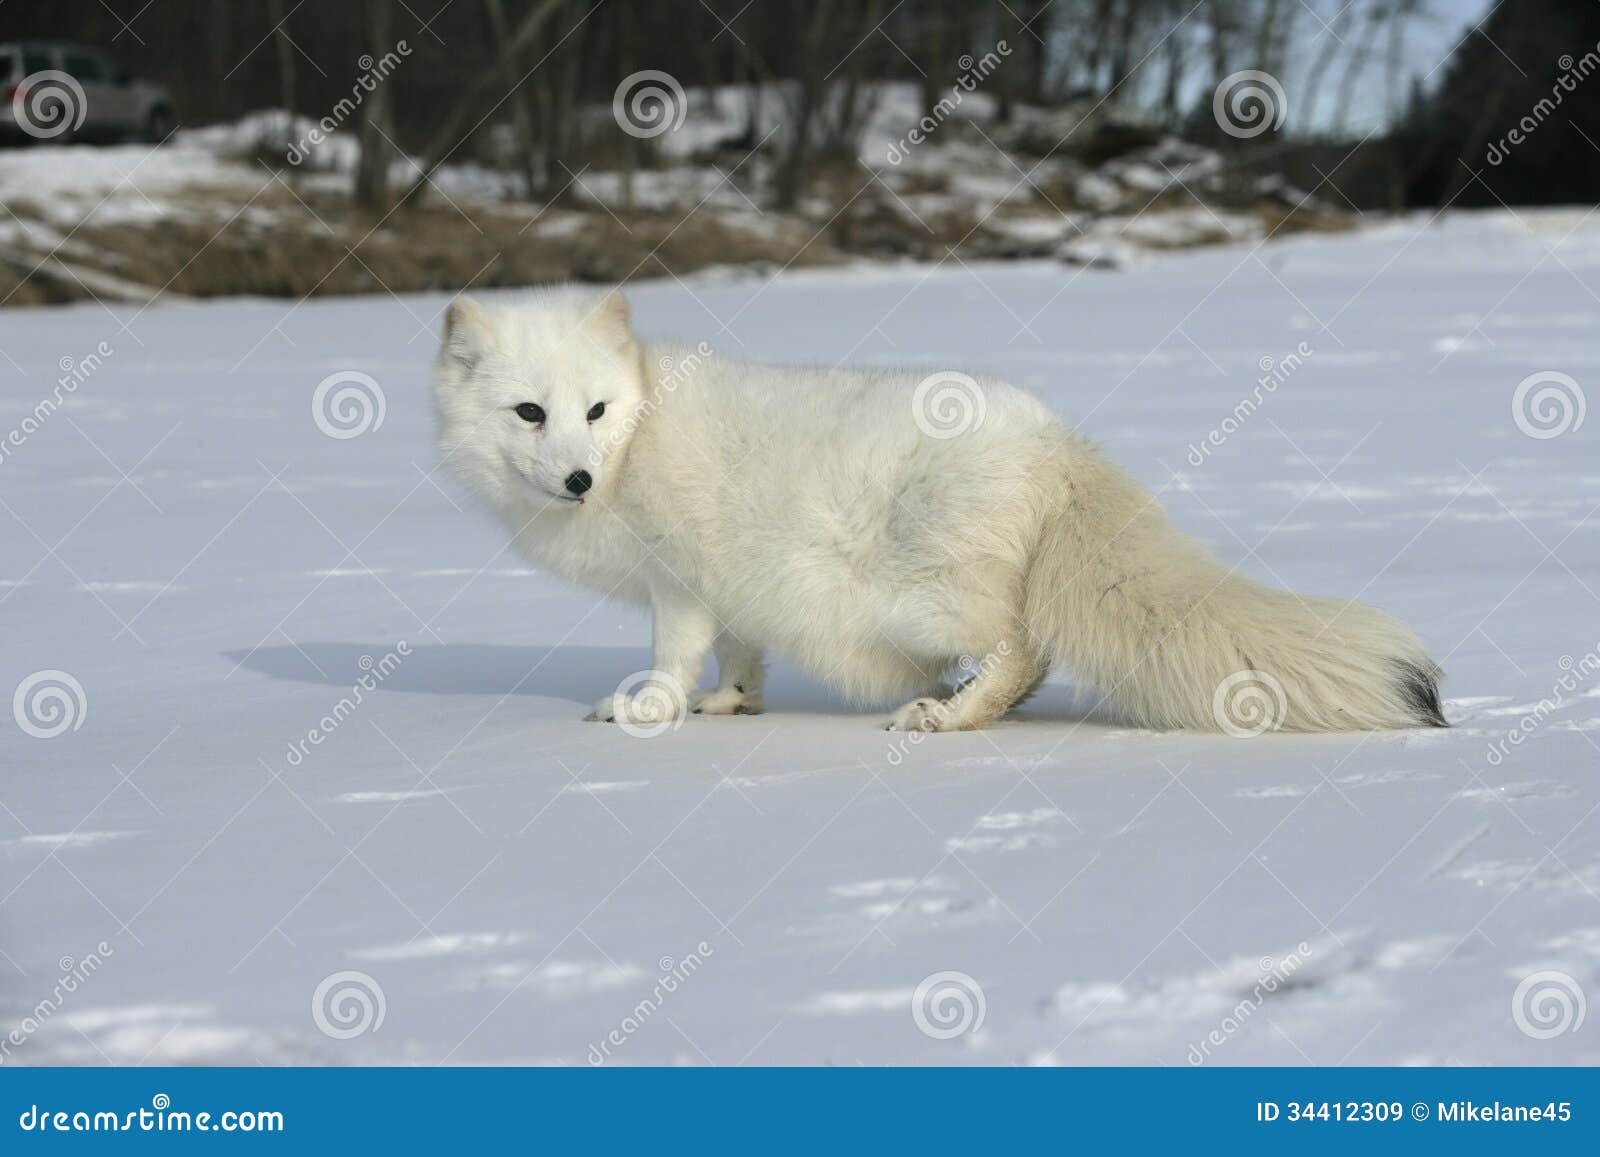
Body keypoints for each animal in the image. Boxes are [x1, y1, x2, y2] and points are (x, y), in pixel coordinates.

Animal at [432, 287, 1446, 735]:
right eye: (531, 413)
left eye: (596, 411)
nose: (578, 480)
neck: (643, 429)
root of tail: (1059, 442)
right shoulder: (732, 590)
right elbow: (742, 650)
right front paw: (733, 702)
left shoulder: (677, 583)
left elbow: (673, 655)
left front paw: (647, 708)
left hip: (914, 601)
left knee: (1023, 648)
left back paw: (948, 717)